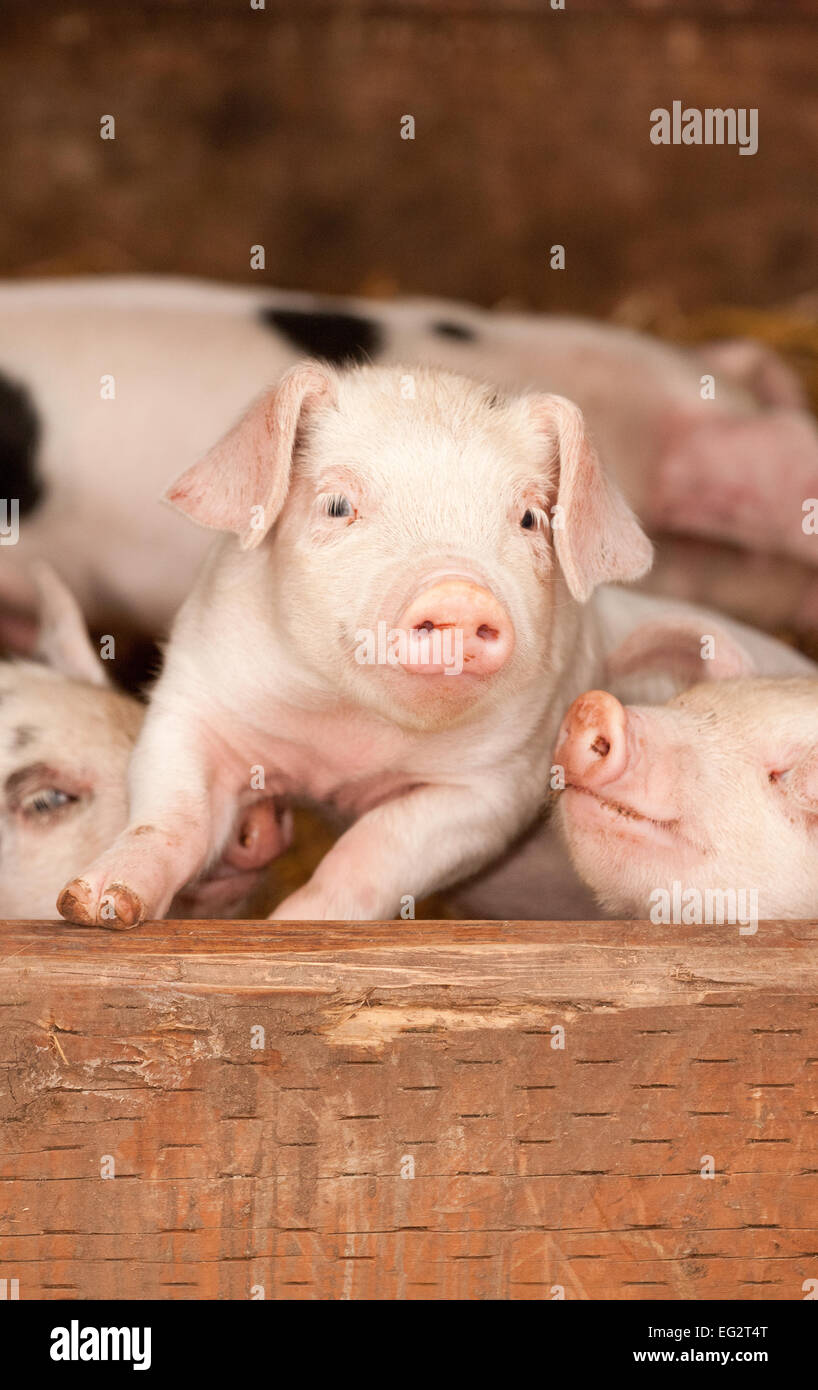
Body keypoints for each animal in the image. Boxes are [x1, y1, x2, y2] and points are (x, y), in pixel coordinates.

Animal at [56, 360, 656, 926]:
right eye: (338, 505)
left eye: (530, 518)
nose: (460, 594)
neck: (343, 748)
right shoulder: (194, 699)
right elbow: (171, 813)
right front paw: (95, 905)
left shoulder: (499, 784)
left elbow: (375, 848)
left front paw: (292, 925)